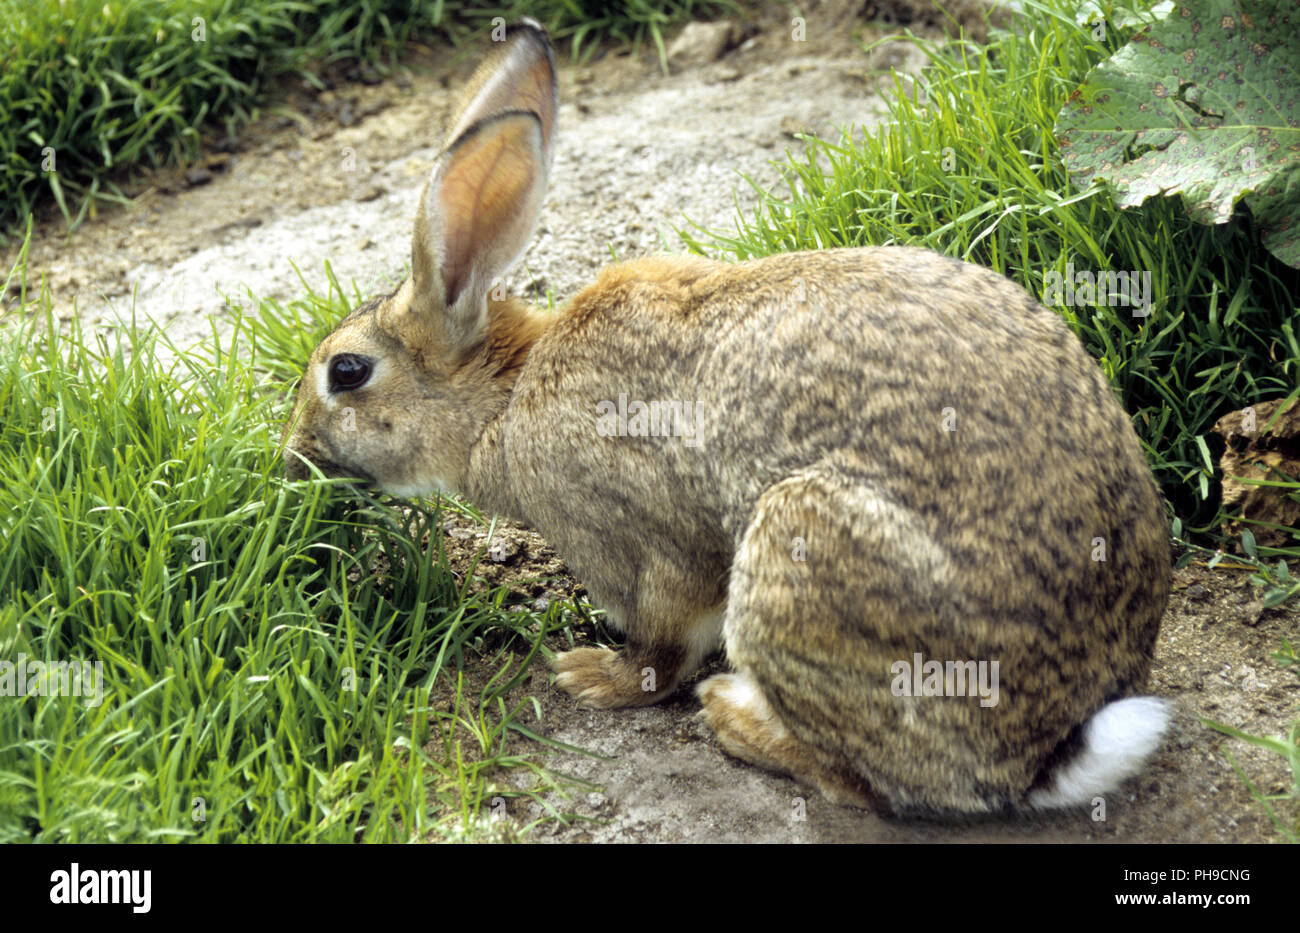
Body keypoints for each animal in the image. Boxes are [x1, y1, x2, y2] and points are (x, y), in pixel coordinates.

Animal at [282, 19, 1173, 817]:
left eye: (346, 371)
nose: (294, 456)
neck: (506, 394)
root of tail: (1048, 754)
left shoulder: (644, 542)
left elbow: (662, 643)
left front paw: (591, 676)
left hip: (800, 553)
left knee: (877, 785)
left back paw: (736, 717)